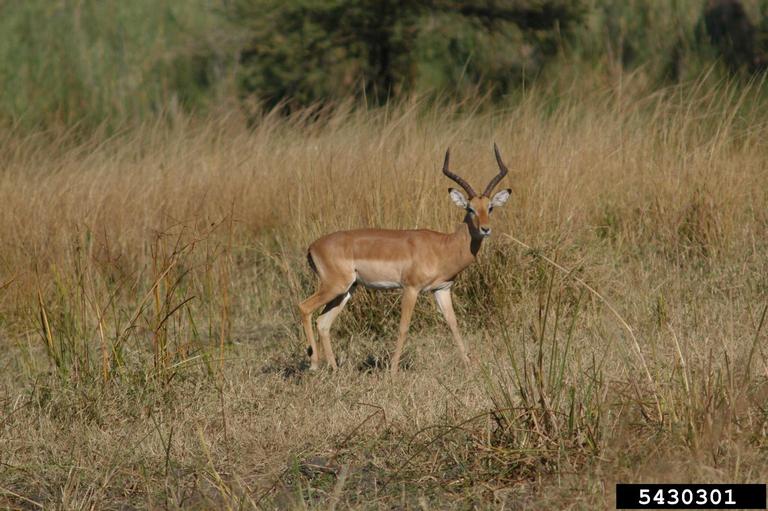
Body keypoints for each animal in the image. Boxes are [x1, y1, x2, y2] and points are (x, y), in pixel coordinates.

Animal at [299, 145, 511, 373]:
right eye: (470, 208)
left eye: (490, 207)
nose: (485, 229)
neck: (443, 246)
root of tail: (312, 246)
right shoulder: (410, 288)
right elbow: (403, 327)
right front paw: (392, 370)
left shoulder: (442, 289)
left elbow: (453, 324)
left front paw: (468, 364)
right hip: (334, 286)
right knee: (304, 308)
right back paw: (313, 364)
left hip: (346, 290)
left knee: (323, 322)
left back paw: (335, 369)